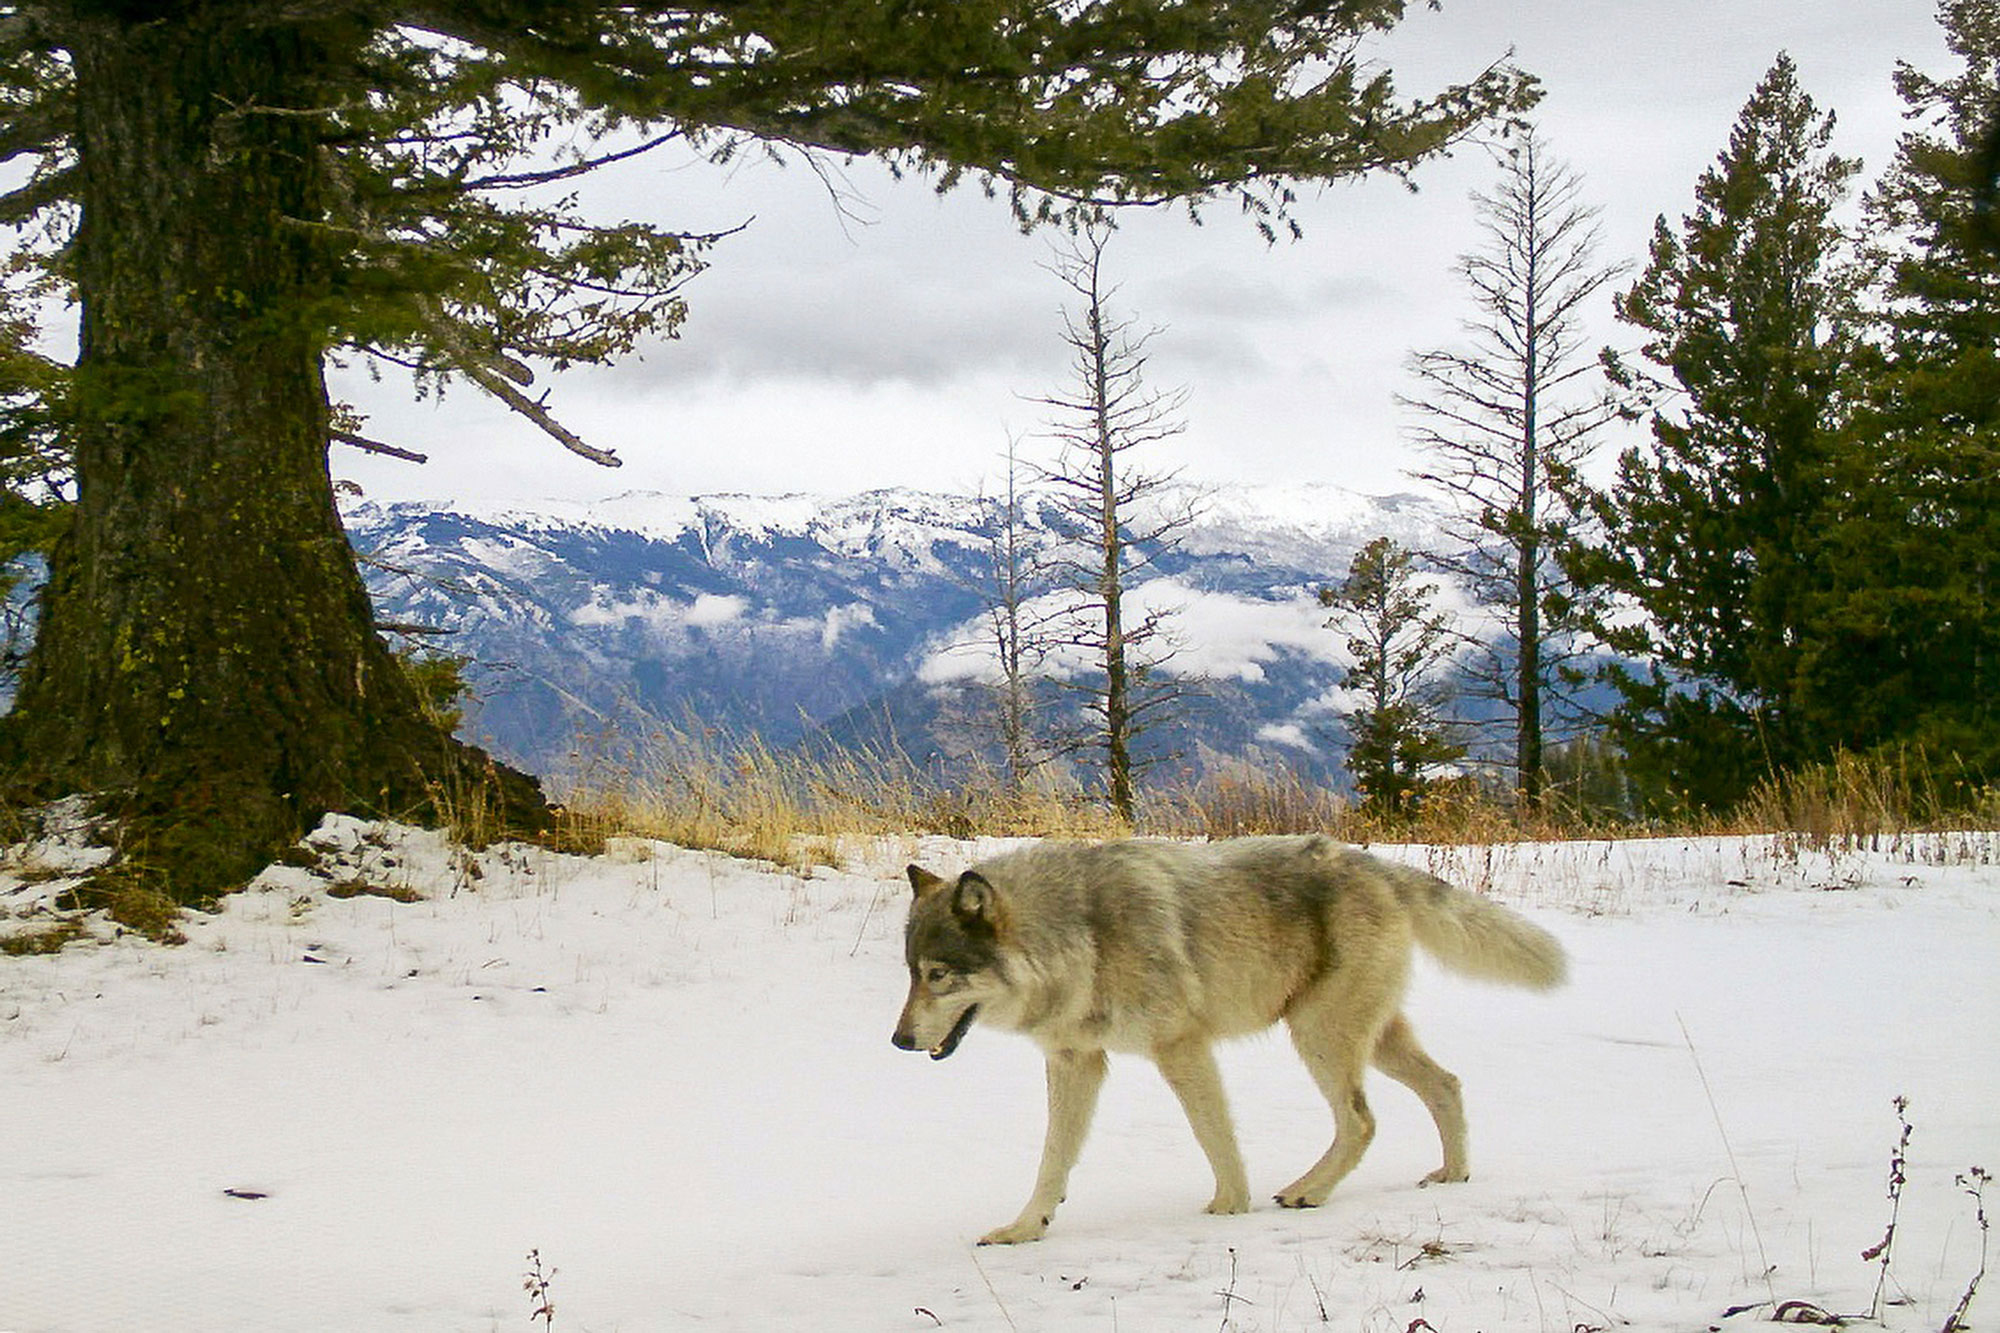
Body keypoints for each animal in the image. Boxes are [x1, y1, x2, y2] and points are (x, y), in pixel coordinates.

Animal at [891, 834, 1567, 1244]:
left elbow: (1213, 1134)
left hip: (1319, 1037)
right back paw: (1453, 1174)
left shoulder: (1181, 1047)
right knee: (1446, 1084)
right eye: (910, 974)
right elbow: (1052, 1158)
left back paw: (1307, 1192)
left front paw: (1230, 1208)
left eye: (939, 975)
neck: (1081, 936)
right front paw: (1026, 1229)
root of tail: (1374, 864)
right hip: (1370, 1040)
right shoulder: (1076, 1061)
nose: (897, 1041)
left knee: (1362, 1120)